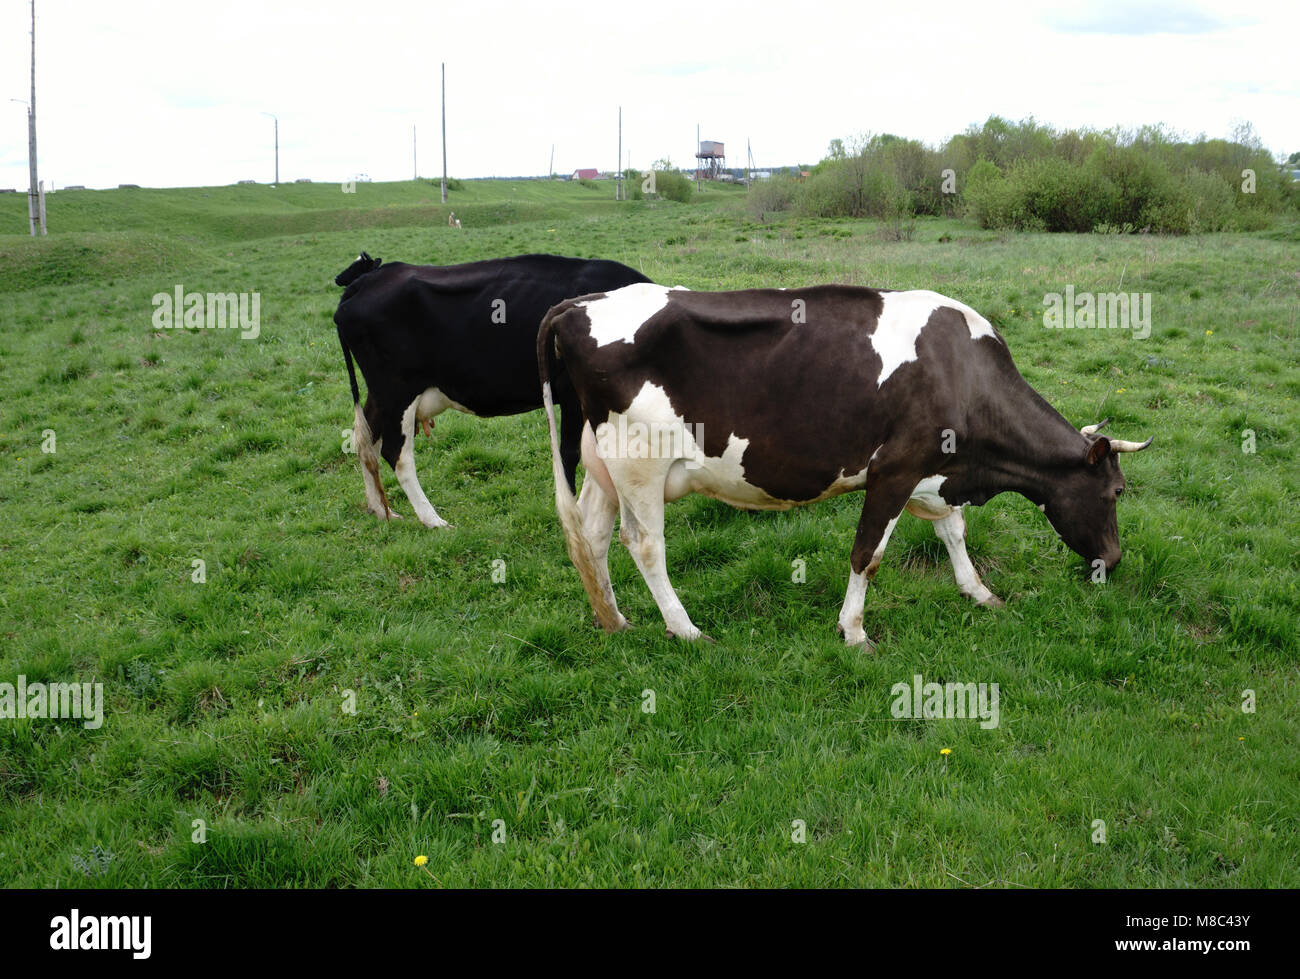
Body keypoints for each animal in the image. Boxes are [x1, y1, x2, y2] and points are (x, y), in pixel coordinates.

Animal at [334, 252, 651, 527]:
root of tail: (367, 278)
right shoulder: (572, 393)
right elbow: (569, 454)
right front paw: (574, 515)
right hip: (397, 391)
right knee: (396, 452)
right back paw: (433, 520)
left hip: (382, 395)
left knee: (365, 440)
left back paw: (381, 511)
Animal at [538, 282, 1152, 647]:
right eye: (1116, 492)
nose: (1116, 560)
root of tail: (581, 303)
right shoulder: (894, 471)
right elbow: (868, 555)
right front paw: (854, 631)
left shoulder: (936, 473)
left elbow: (954, 532)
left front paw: (979, 592)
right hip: (640, 463)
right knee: (643, 544)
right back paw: (686, 629)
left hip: (604, 467)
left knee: (591, 533)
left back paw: (614, 618)